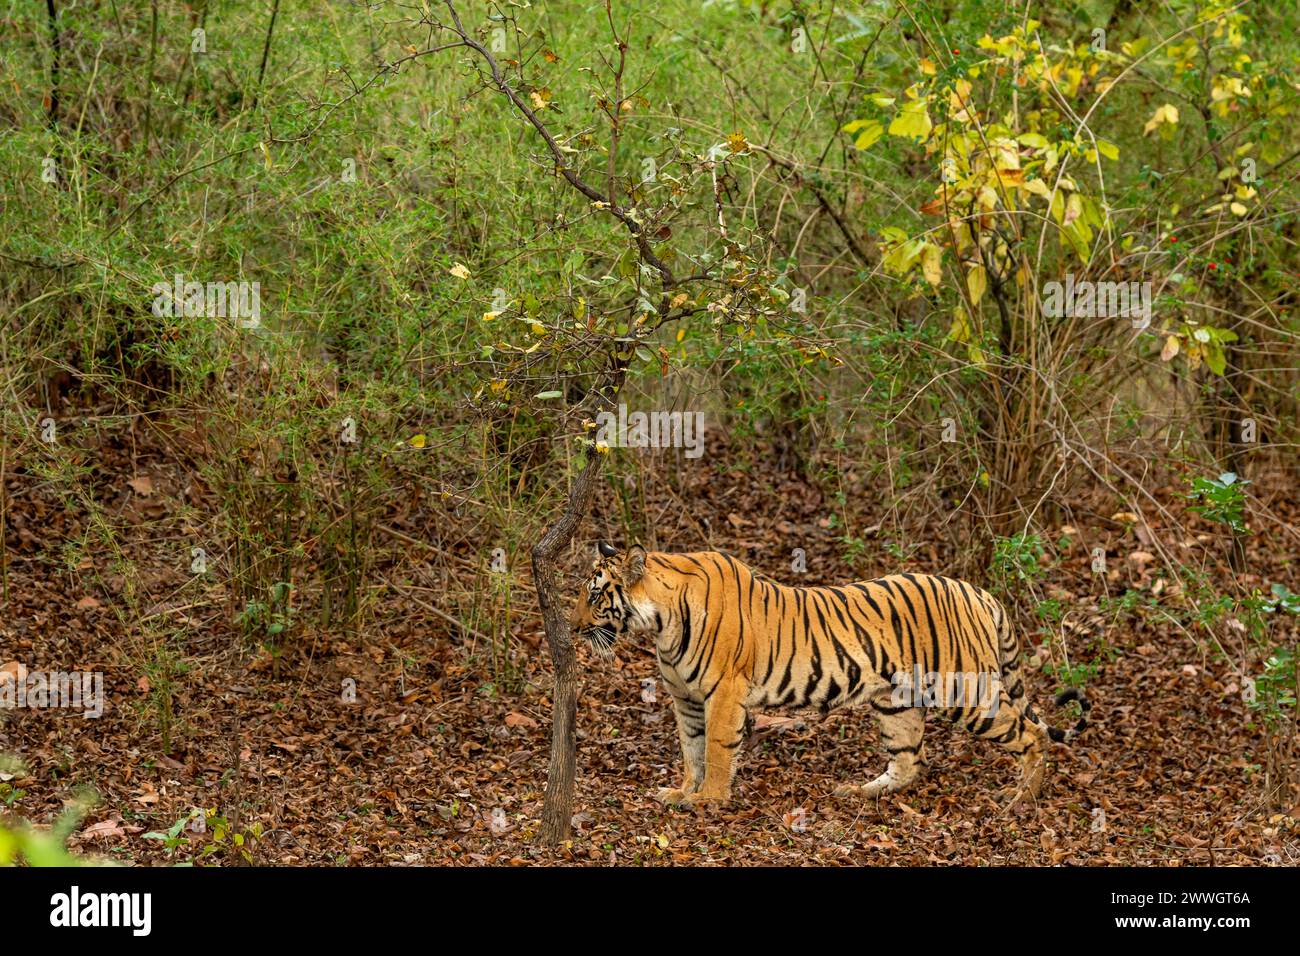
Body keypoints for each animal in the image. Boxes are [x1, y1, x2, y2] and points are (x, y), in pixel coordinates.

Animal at [570, 542, 1089, 808]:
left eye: (594, 596)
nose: (572, 628)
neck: (660, 623)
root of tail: (980, 592)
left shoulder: (722, 693)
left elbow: (715, 751)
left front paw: (708, 801)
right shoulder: (686, 698)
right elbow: (691, 750)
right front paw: (681, 791)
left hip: (968, 691)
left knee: (1032, 734)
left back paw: (1020, 800)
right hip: (896, 702)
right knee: (909, 762)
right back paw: (858, 791)